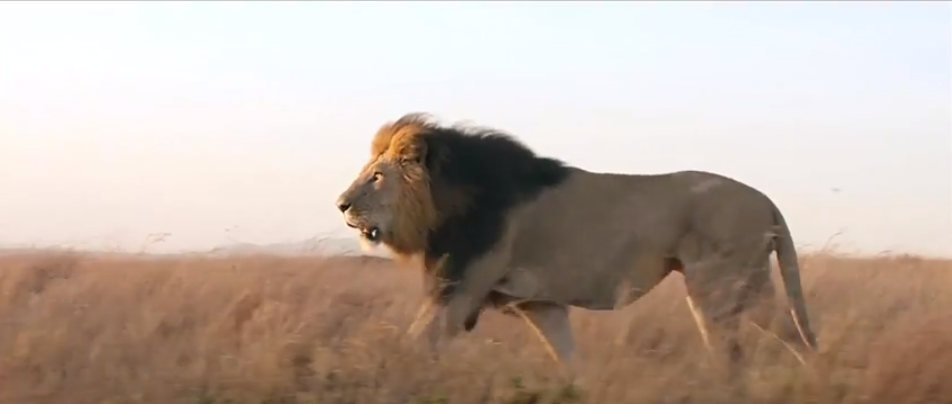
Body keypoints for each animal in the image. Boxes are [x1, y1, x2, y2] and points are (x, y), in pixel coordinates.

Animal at [334, 112, 819, 376]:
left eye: (376, 177)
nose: (341, 205)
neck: (446, 199)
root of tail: (766, 200)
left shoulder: (459, 290)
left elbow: (416, 342)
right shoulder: (539, 303)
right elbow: (568, 357)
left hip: (718, 286)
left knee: (768, 343)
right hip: (746, 284)